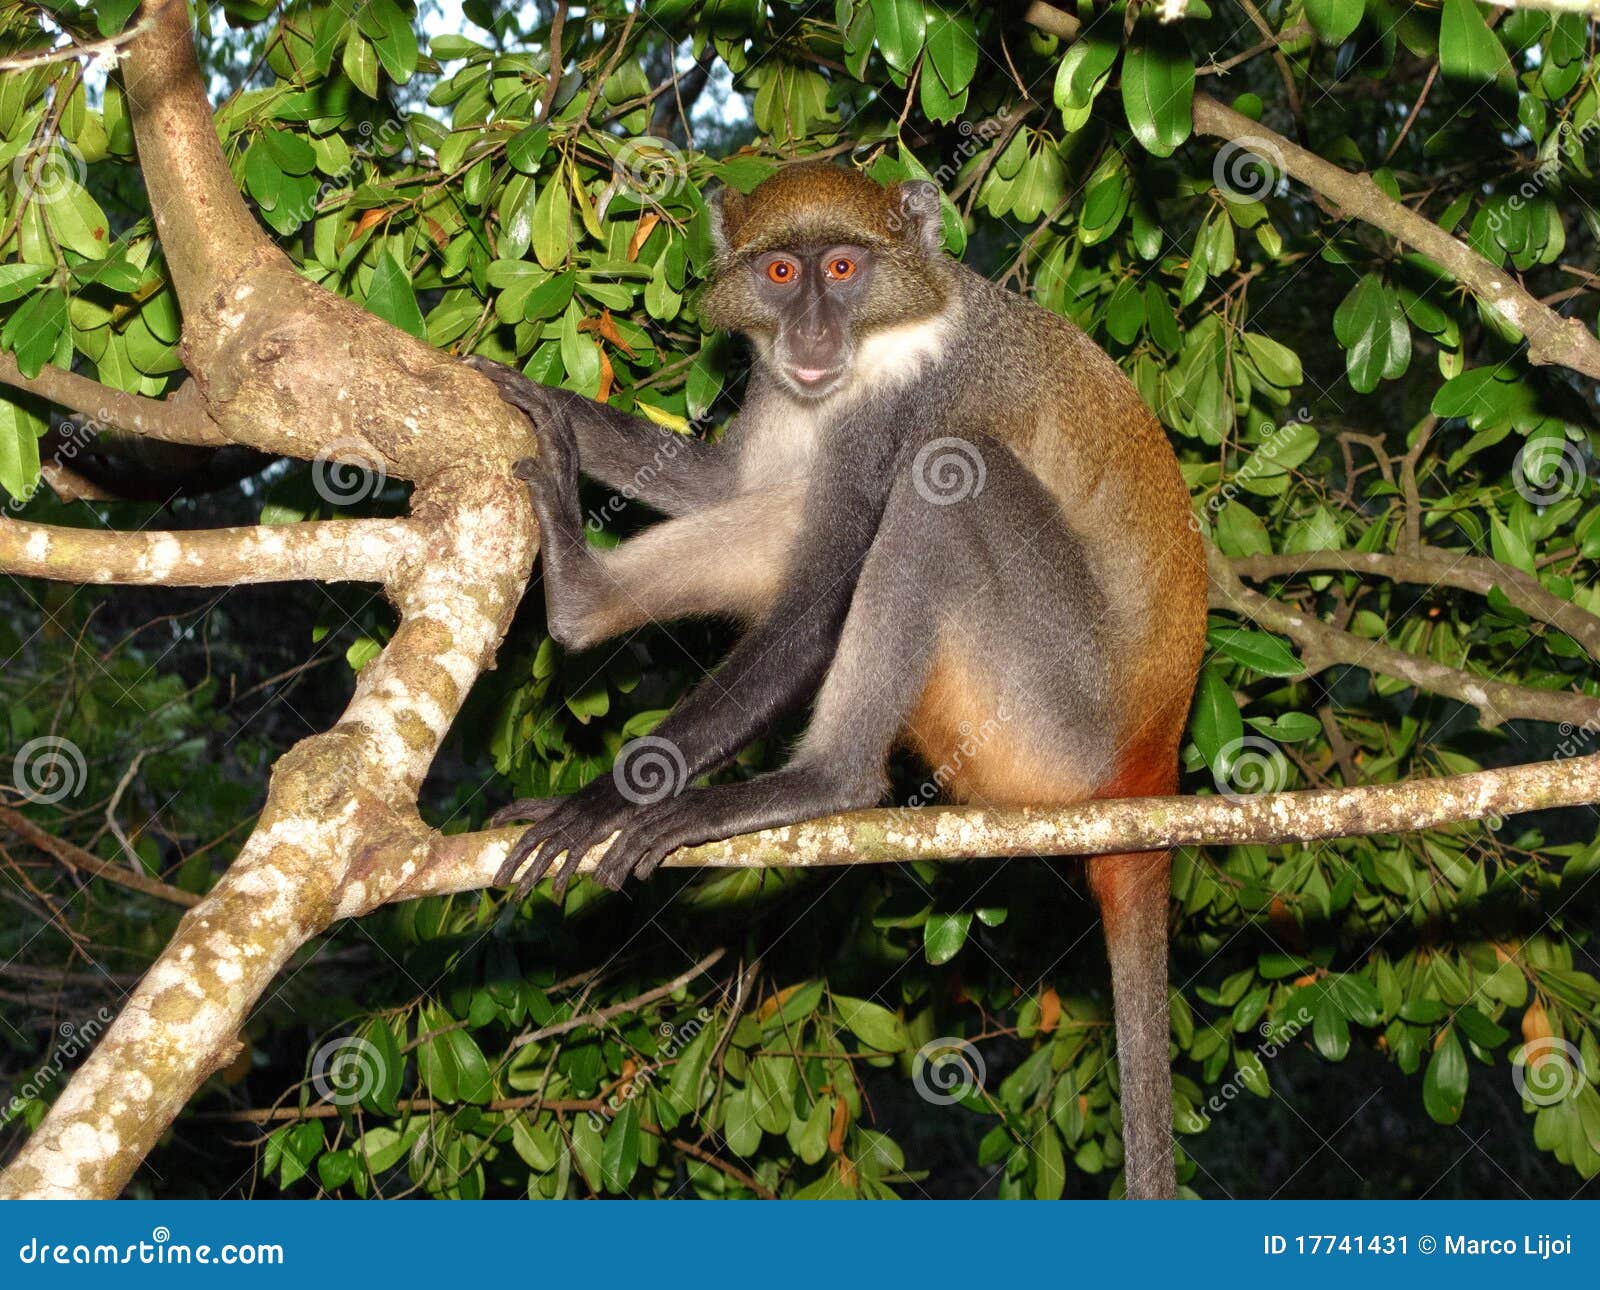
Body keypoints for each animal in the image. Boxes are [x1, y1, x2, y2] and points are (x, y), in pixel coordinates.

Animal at [465, 163, 1206, 1199]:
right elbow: (728, 487)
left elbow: (820, 603)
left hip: (1057, 714)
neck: (890, 333)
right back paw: (582, 596)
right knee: (789, 506)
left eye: (845, 268)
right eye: (782, 271)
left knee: (947, 485)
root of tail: (1153, 759)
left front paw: (599, 804)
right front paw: (541, 401)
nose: (812, 335)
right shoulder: (789, 392)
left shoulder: (903, 406)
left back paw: (822, 782)